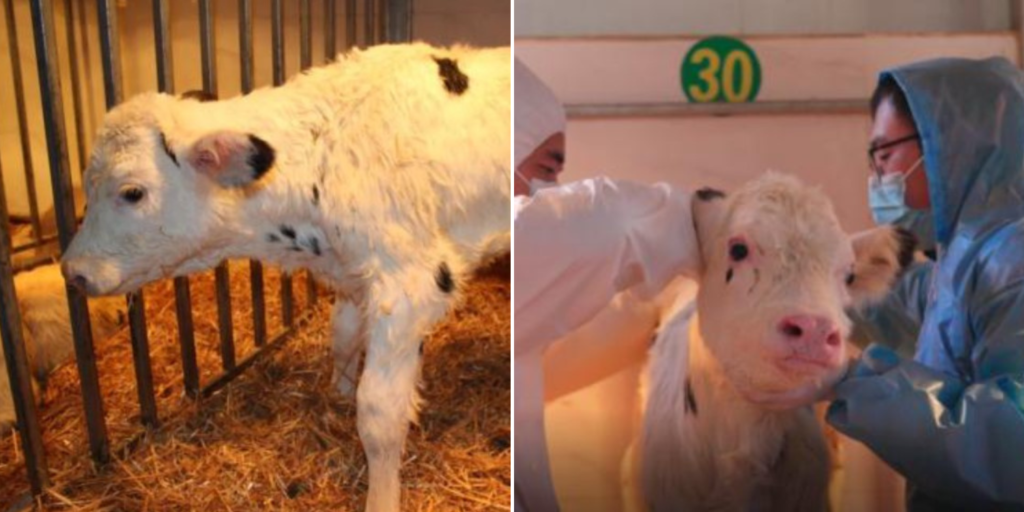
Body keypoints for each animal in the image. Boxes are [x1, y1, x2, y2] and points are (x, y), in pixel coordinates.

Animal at [60, 43, 510, 512]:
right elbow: (343, 337)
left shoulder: (411, 282)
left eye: (132, 192)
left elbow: (380, 413)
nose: (73, 271)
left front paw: (381, 497)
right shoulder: (352, 272)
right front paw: (337, 394)